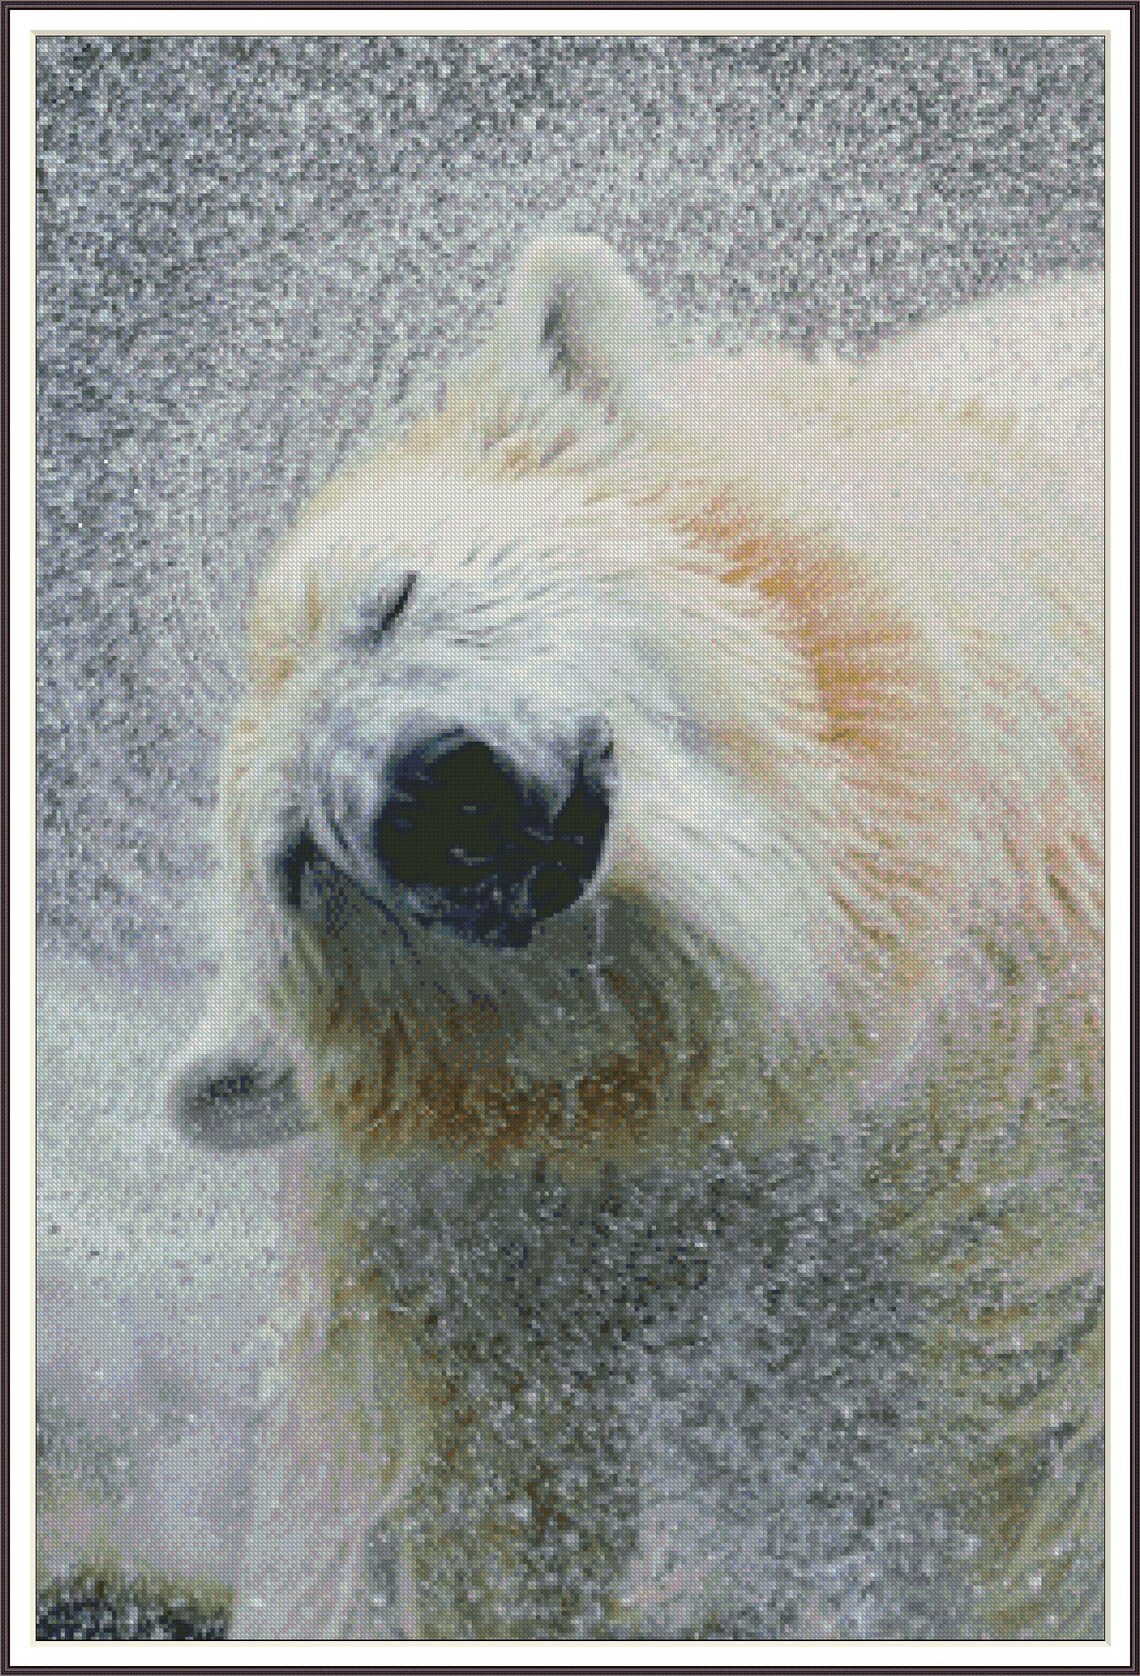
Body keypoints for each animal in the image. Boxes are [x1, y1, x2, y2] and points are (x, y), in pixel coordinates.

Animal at [159, 235, 1103, 1640]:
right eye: (300, 865)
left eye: (390, 596)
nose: (429, 796)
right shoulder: (483, 1227)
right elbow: (429, 1522)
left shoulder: (1024, 1067)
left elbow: (1051, 1429)